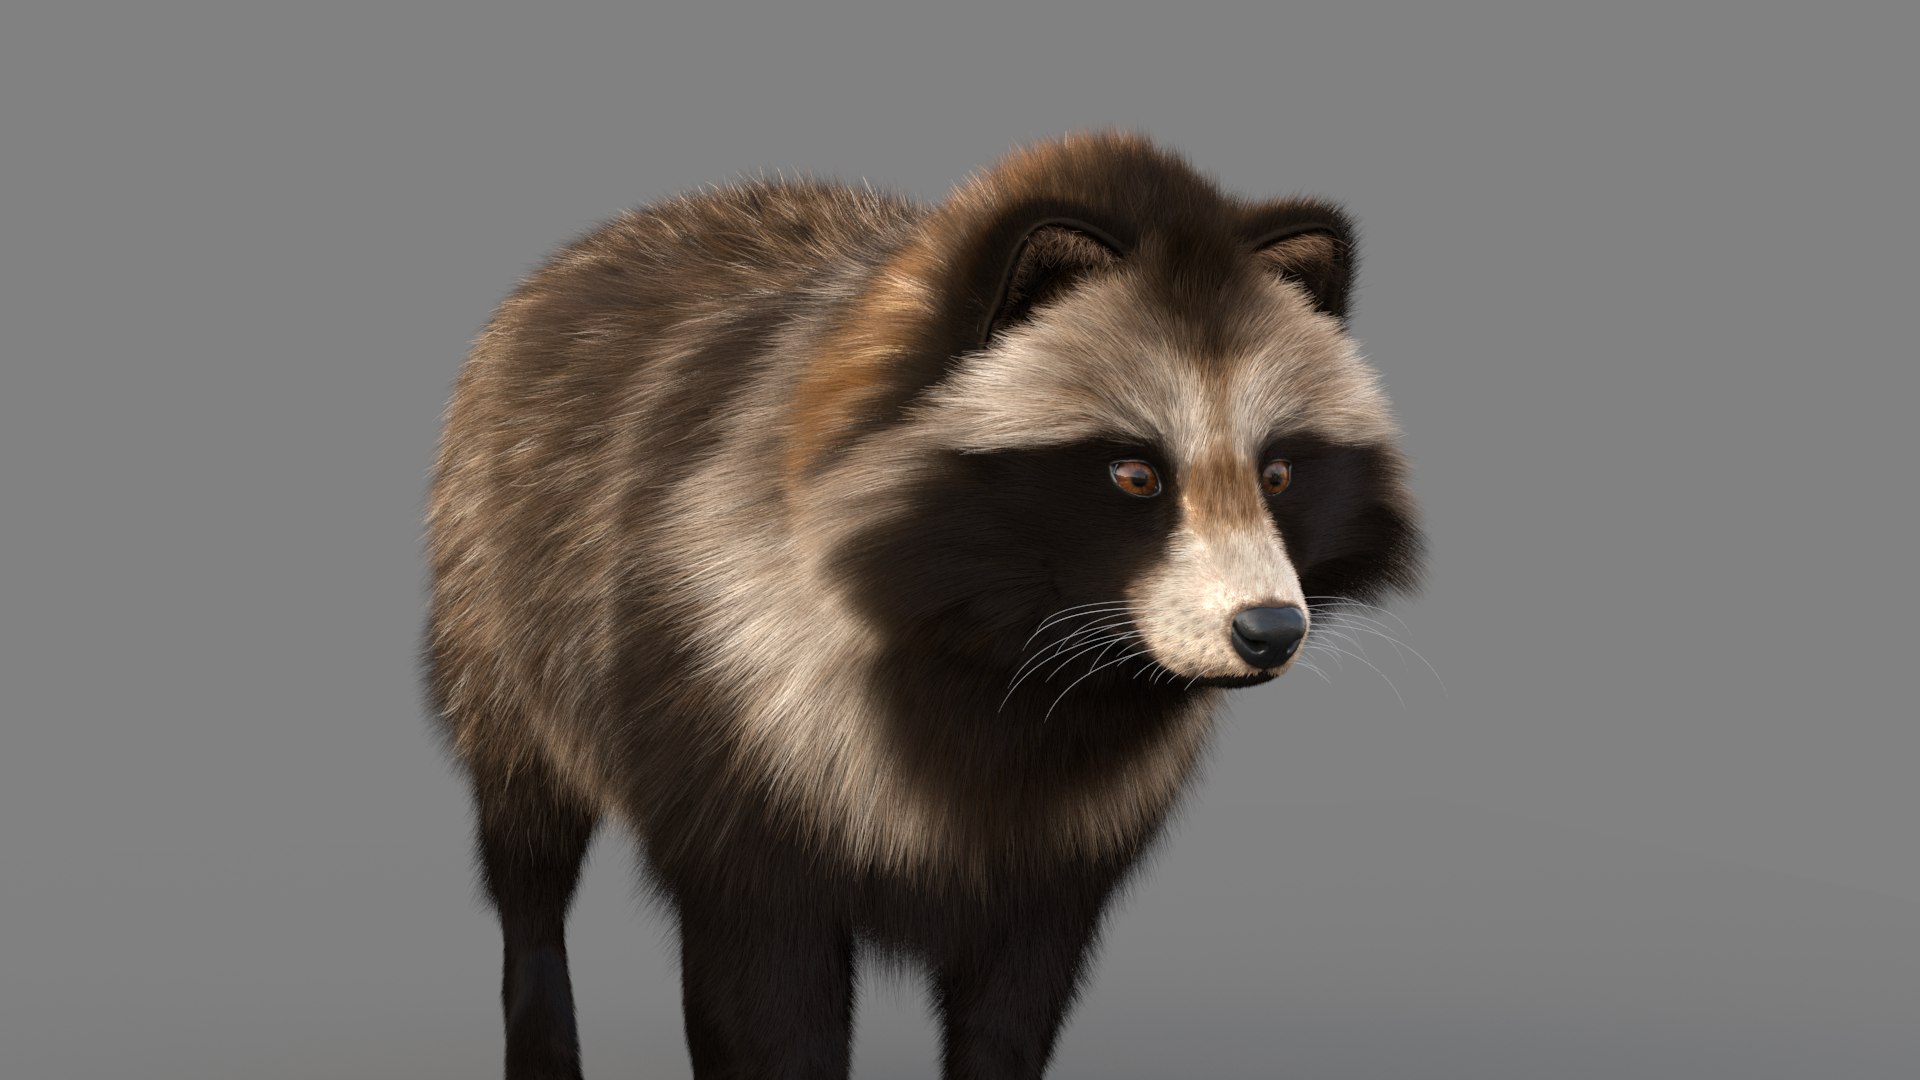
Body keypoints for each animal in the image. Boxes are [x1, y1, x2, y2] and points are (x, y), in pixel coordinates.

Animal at [424, 131, 1422, 1079]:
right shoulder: (728, 714)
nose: (1271, 631)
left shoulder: (1062, 847)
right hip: (500, 615)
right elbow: (765, 996)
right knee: (527, 845)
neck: (1011, 654)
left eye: (1279, 473)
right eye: (1135, 474)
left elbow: (1013, 1008)